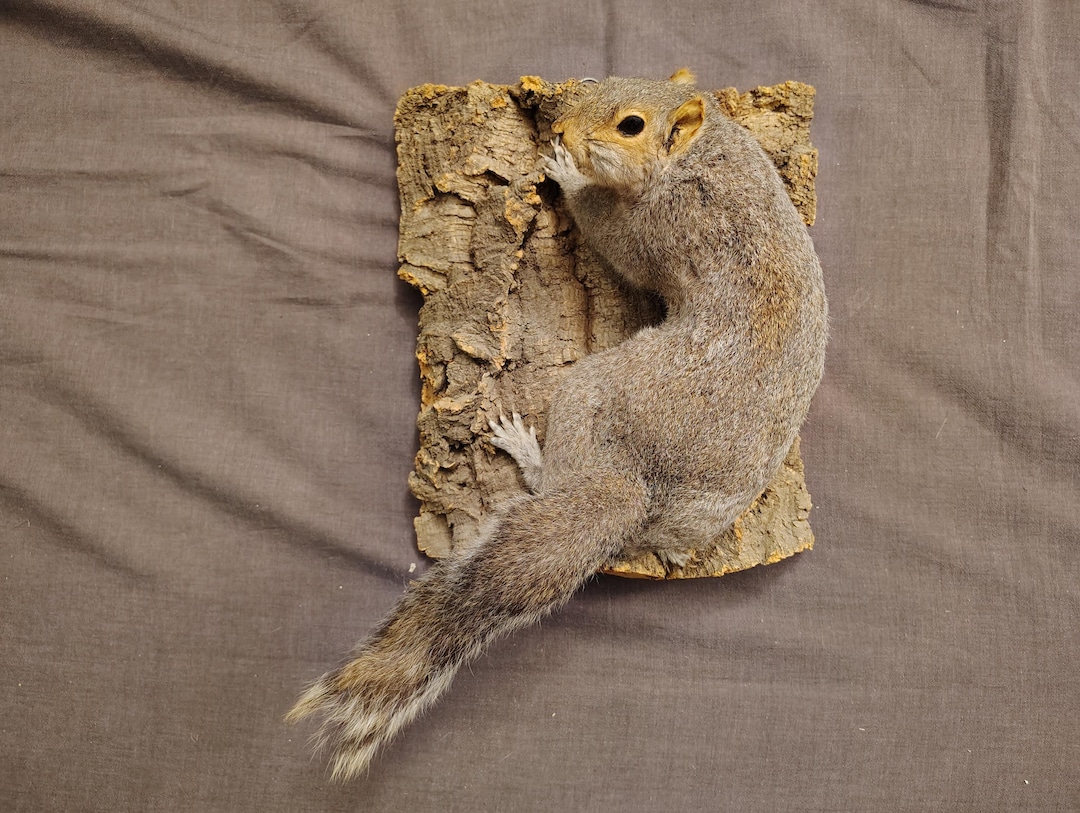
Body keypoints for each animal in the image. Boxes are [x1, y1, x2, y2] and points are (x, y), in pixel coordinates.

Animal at [286, 70, 828, 780]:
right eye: (614, 78)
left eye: (630, 125)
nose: (565, 127)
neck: (704, 151)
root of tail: (636, 487)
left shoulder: (657, 224)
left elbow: (611, 235)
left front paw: (567, 173)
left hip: (587, 389)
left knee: (552, 478)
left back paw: (525, 450)